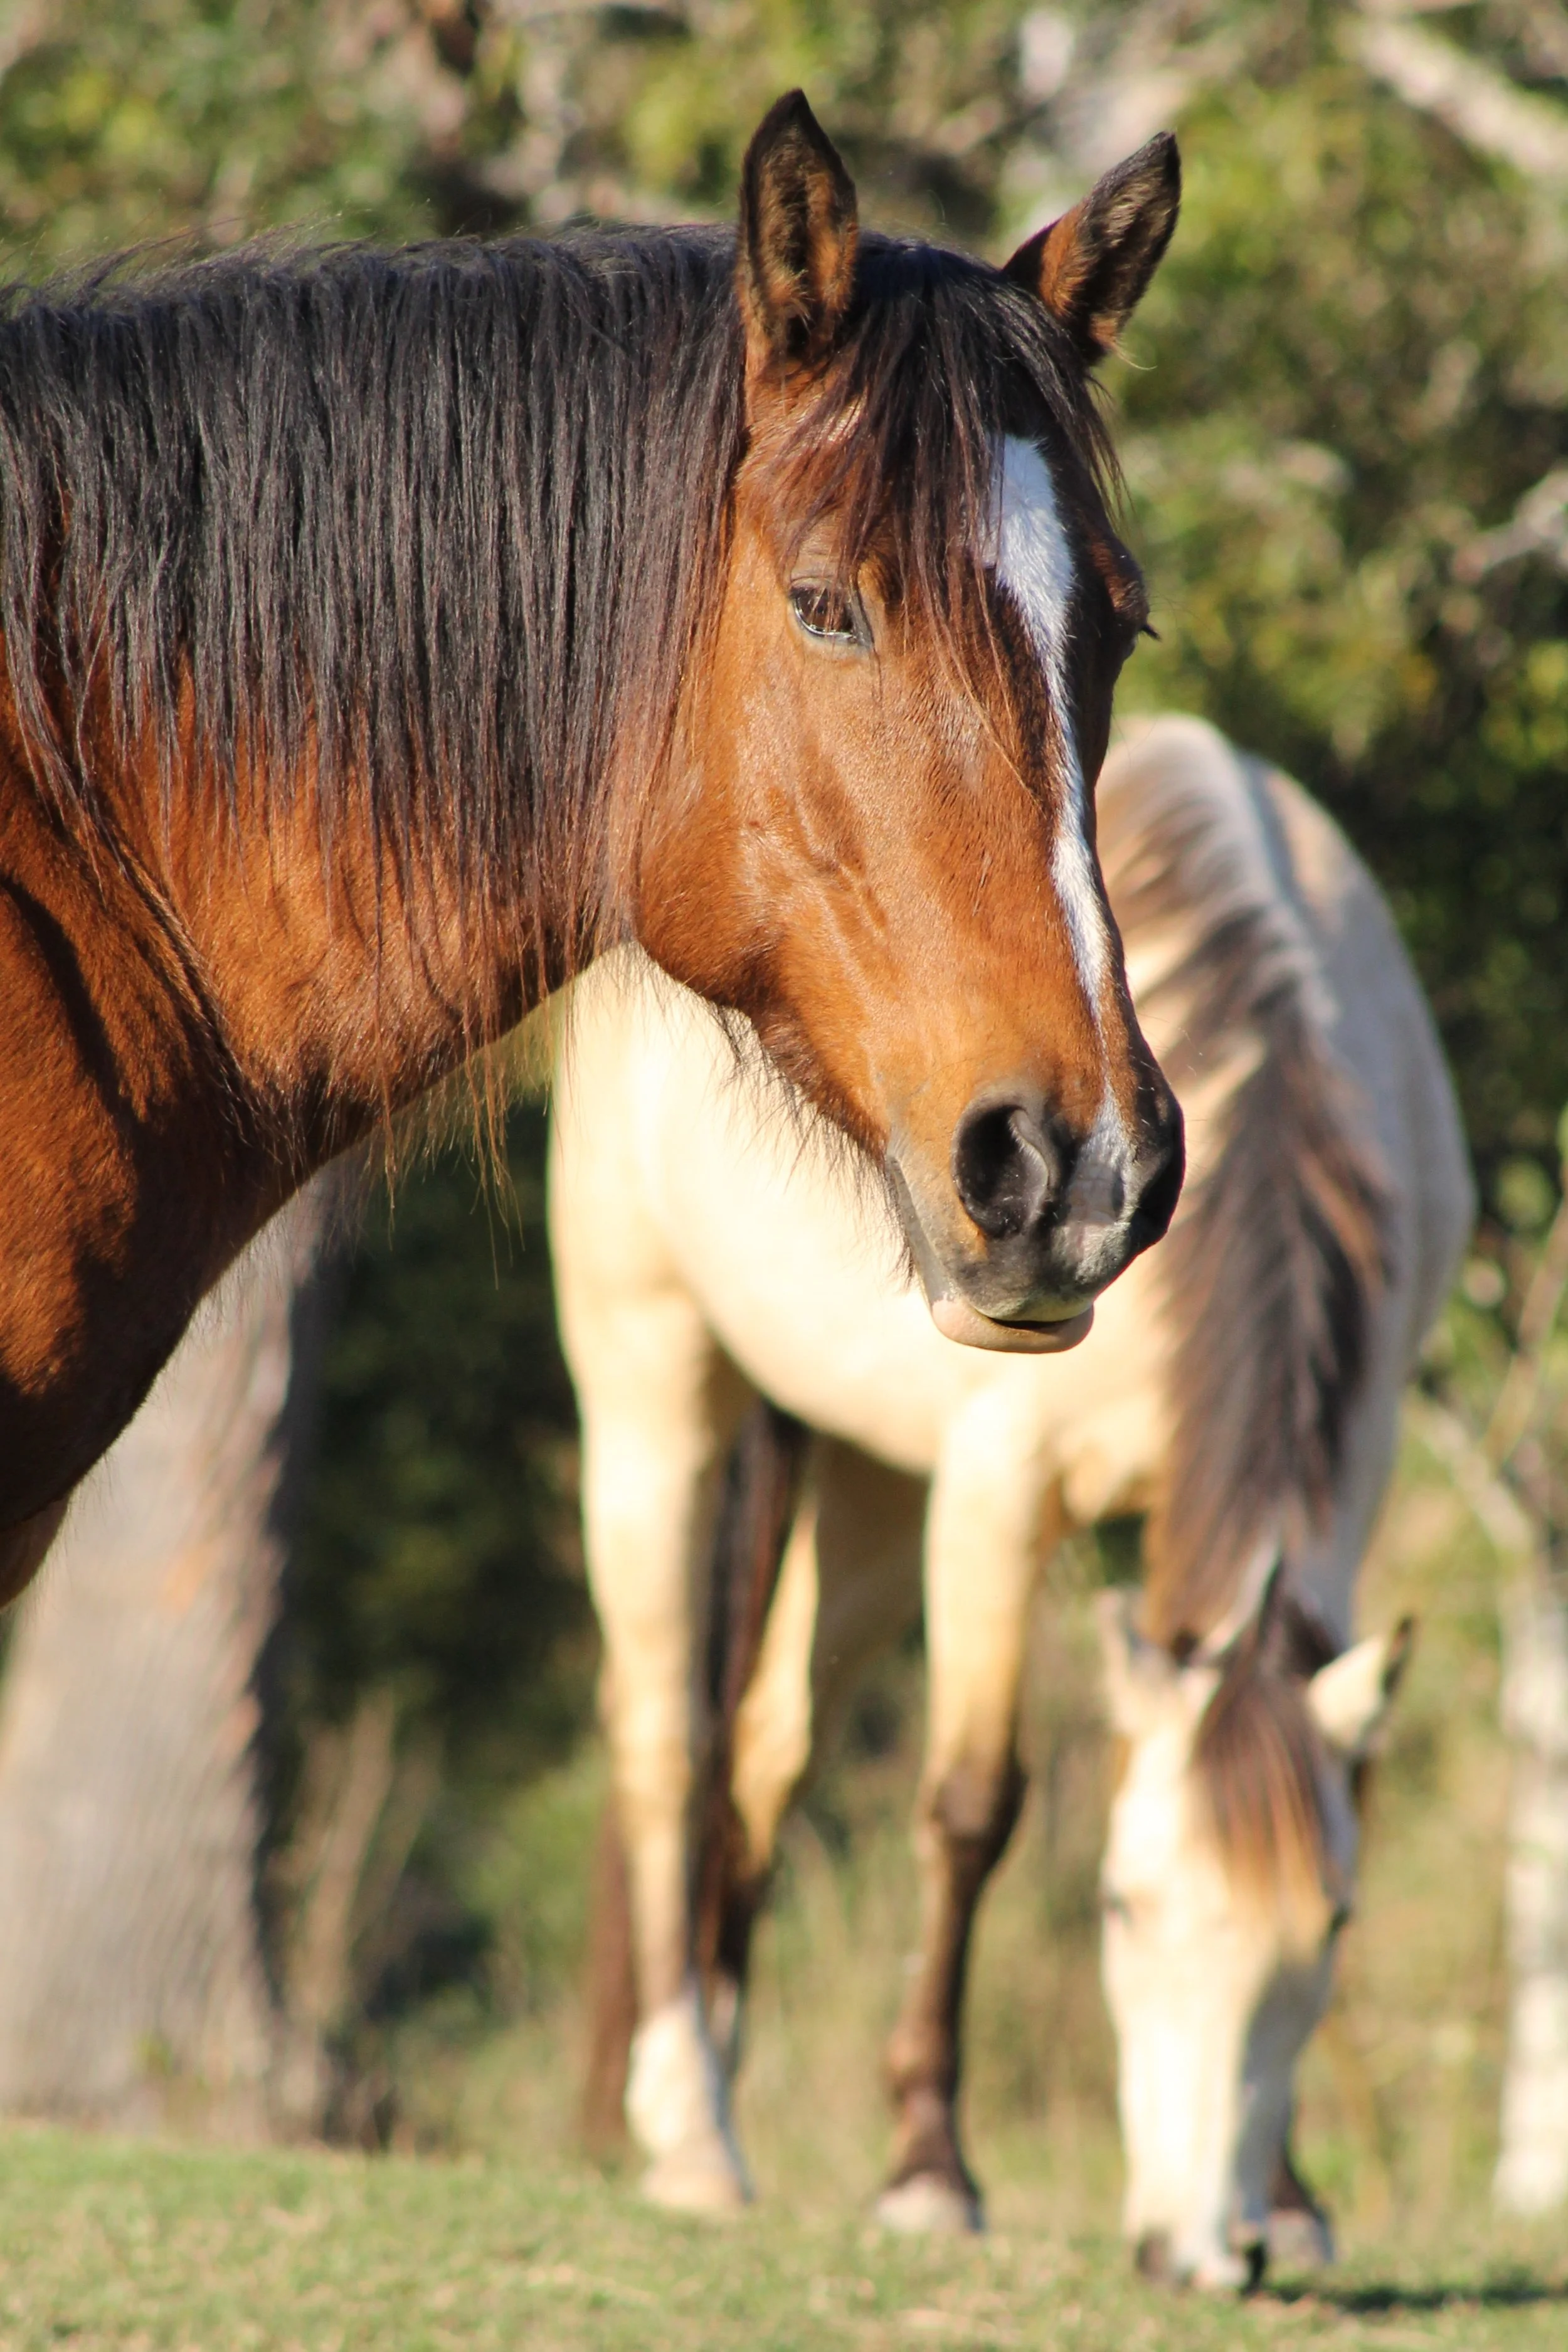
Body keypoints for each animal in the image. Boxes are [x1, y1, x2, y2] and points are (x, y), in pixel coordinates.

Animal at [550, 713, 1474, 2288]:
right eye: (1122, 1908)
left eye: (1328, 1925)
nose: (1203, 2253)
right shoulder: (996, 1489)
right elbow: (971, 1805)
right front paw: (928, 2167)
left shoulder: (1341, 1500)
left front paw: (1293, 2196)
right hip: (654, 1391)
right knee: (667, 1737)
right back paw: (687, 2126)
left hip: (862, 1477)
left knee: (766, 1748)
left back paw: (720, 2061)